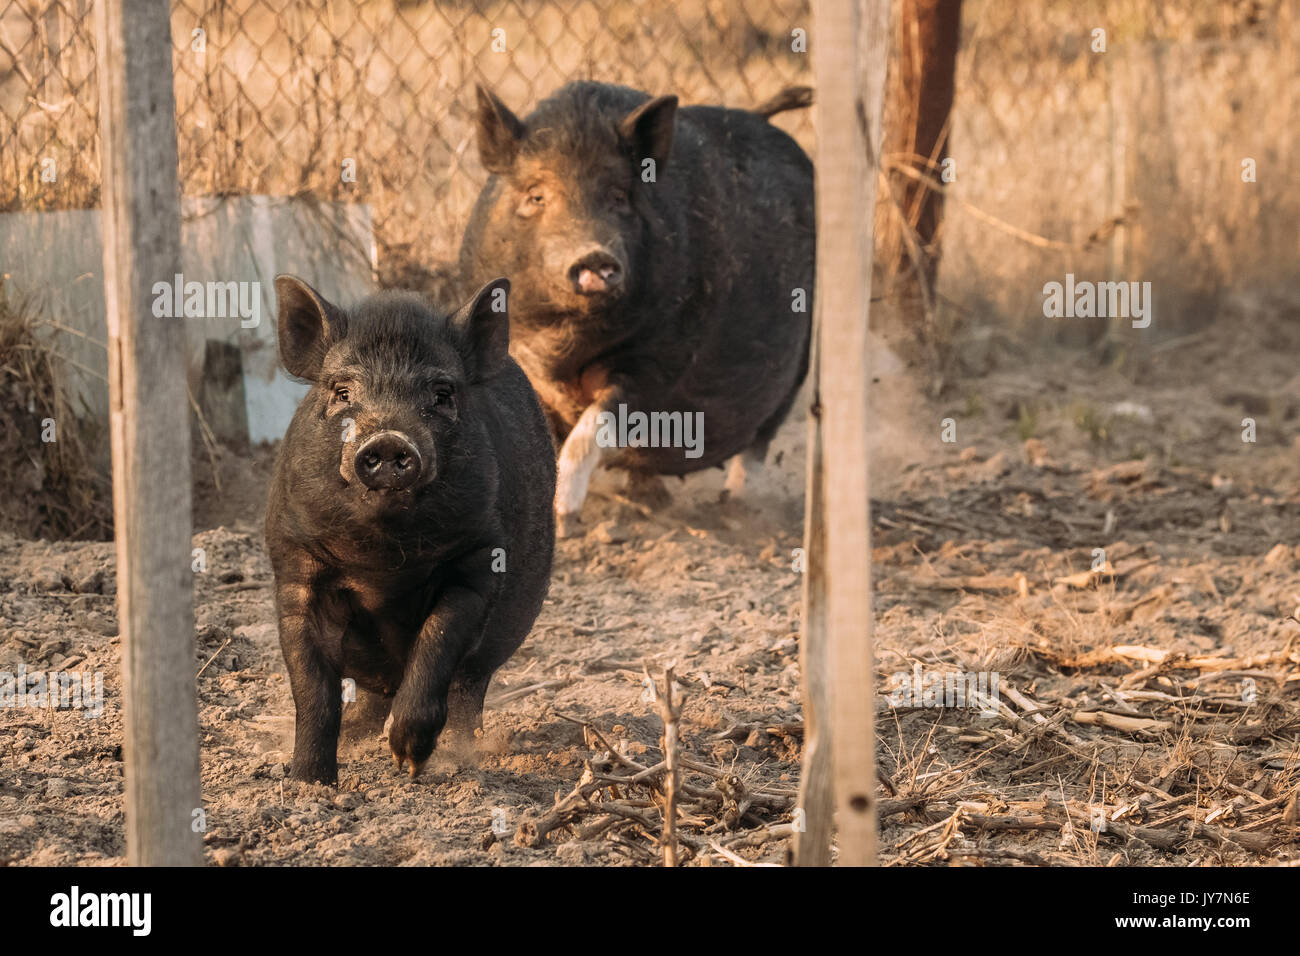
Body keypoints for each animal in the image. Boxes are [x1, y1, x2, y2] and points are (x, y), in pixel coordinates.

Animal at [264, 275, 555, 784]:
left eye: (442, 393)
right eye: (342, 392)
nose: (387, 440)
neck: (383, 567)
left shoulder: (479, 559)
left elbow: (438, 641)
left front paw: (408, 761)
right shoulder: (296, 563)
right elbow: (312, 686)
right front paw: (309, 783)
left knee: (466, 690)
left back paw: (465, 751)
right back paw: (357, 737)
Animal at [458, 81, 815, 537]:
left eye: (619, 196)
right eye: (536, 195)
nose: (595, 257)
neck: (563, 347)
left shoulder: (654, 364)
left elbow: (591, 429)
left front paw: (565, 519)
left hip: (801, 358)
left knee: (760, 440)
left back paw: (732, 508)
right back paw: (653, 498)